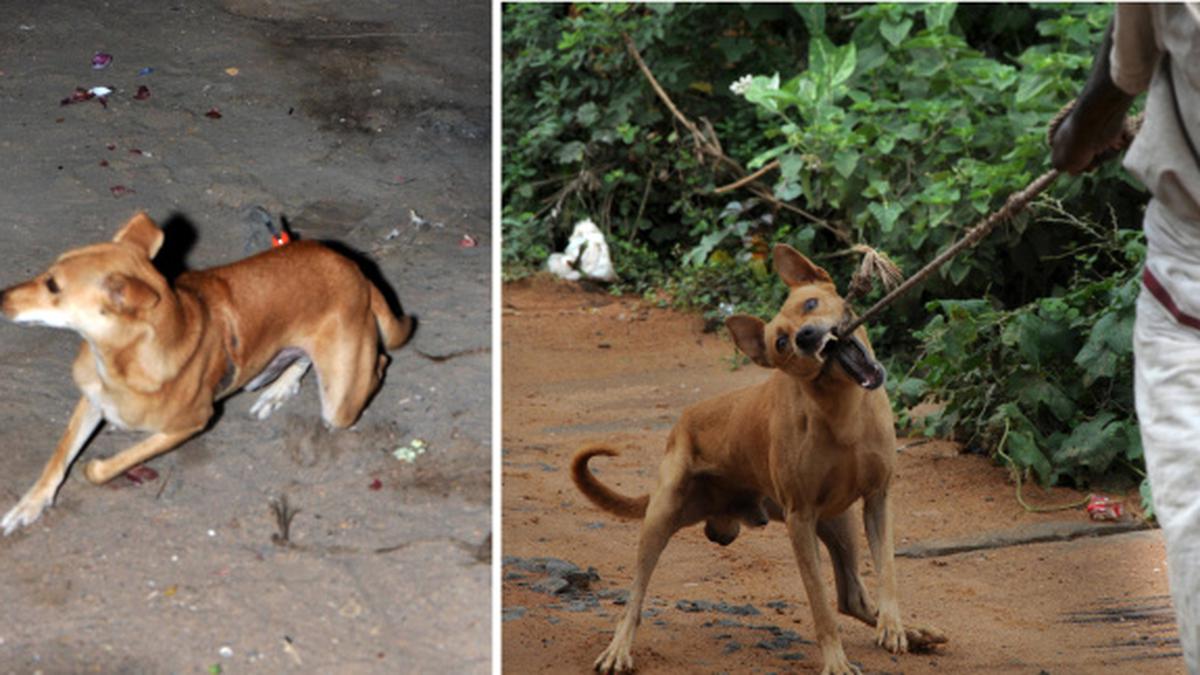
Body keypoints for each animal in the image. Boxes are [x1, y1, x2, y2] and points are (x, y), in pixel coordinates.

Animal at [1, 212, 412, 533]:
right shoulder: (91, 401)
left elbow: (102, 468)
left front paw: (97, 463)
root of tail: (355, 268)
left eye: (53, 285)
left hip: (340, 400)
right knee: (301, 356)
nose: (0, 296)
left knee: (379, 364)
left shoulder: (192, 423)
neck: (122, 358)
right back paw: (278, 388)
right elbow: (57, 460)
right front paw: (28, 506)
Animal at [571, 242, 945, 672]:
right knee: (635, 597)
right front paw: (835, 661)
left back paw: (916, 632)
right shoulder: (800, 520)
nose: (806, 337)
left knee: (851, 597)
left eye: (811, 303)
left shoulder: (877, 498)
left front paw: (895, 626)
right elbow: (820, 606)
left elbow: (887, 570)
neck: (842, 413)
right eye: (780, 343)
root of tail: (683, 421)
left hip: (839, 520)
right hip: (662, 517)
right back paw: (619, 648)